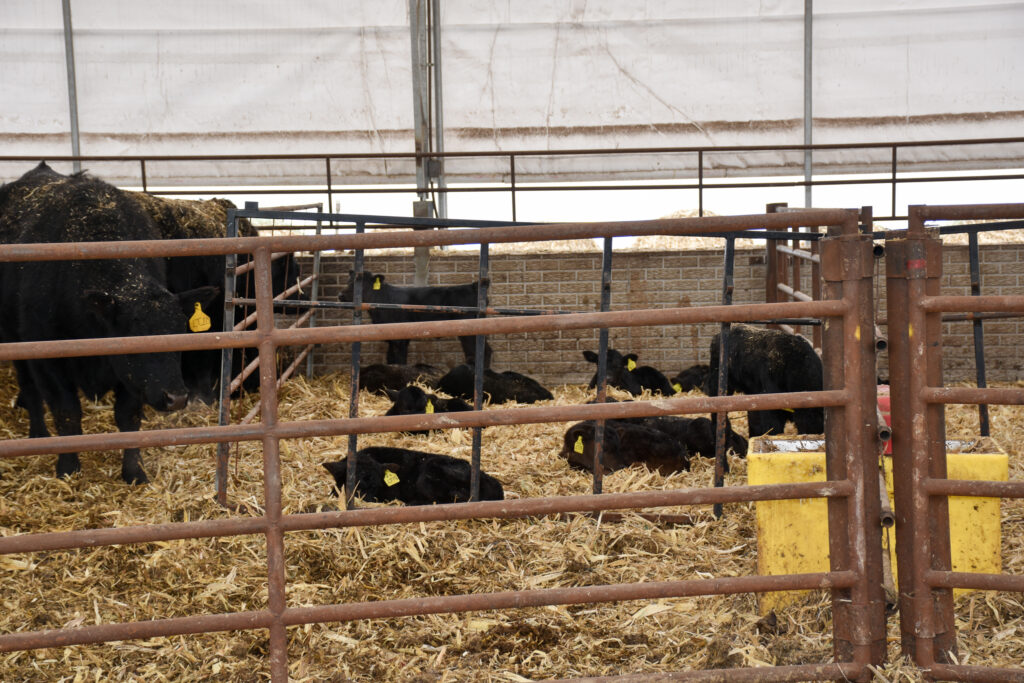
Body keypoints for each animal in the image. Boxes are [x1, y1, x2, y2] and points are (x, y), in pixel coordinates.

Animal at [0, 170, 219, 484]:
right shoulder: (48, 360)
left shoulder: (128, 376)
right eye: (134, 342)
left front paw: (134, 470)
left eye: (179, 337)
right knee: (30, 389)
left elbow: (128, 417)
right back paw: (38, 434)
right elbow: (67, 412)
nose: (176, 398)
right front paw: (68, 467)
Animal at [338, 270, 493, 367]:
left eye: (362, 284)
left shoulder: (400, 338)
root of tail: (472, 286)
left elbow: (400, 360)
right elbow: (391, 359)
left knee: (482, 352)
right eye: (348, 281)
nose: (340, 295)